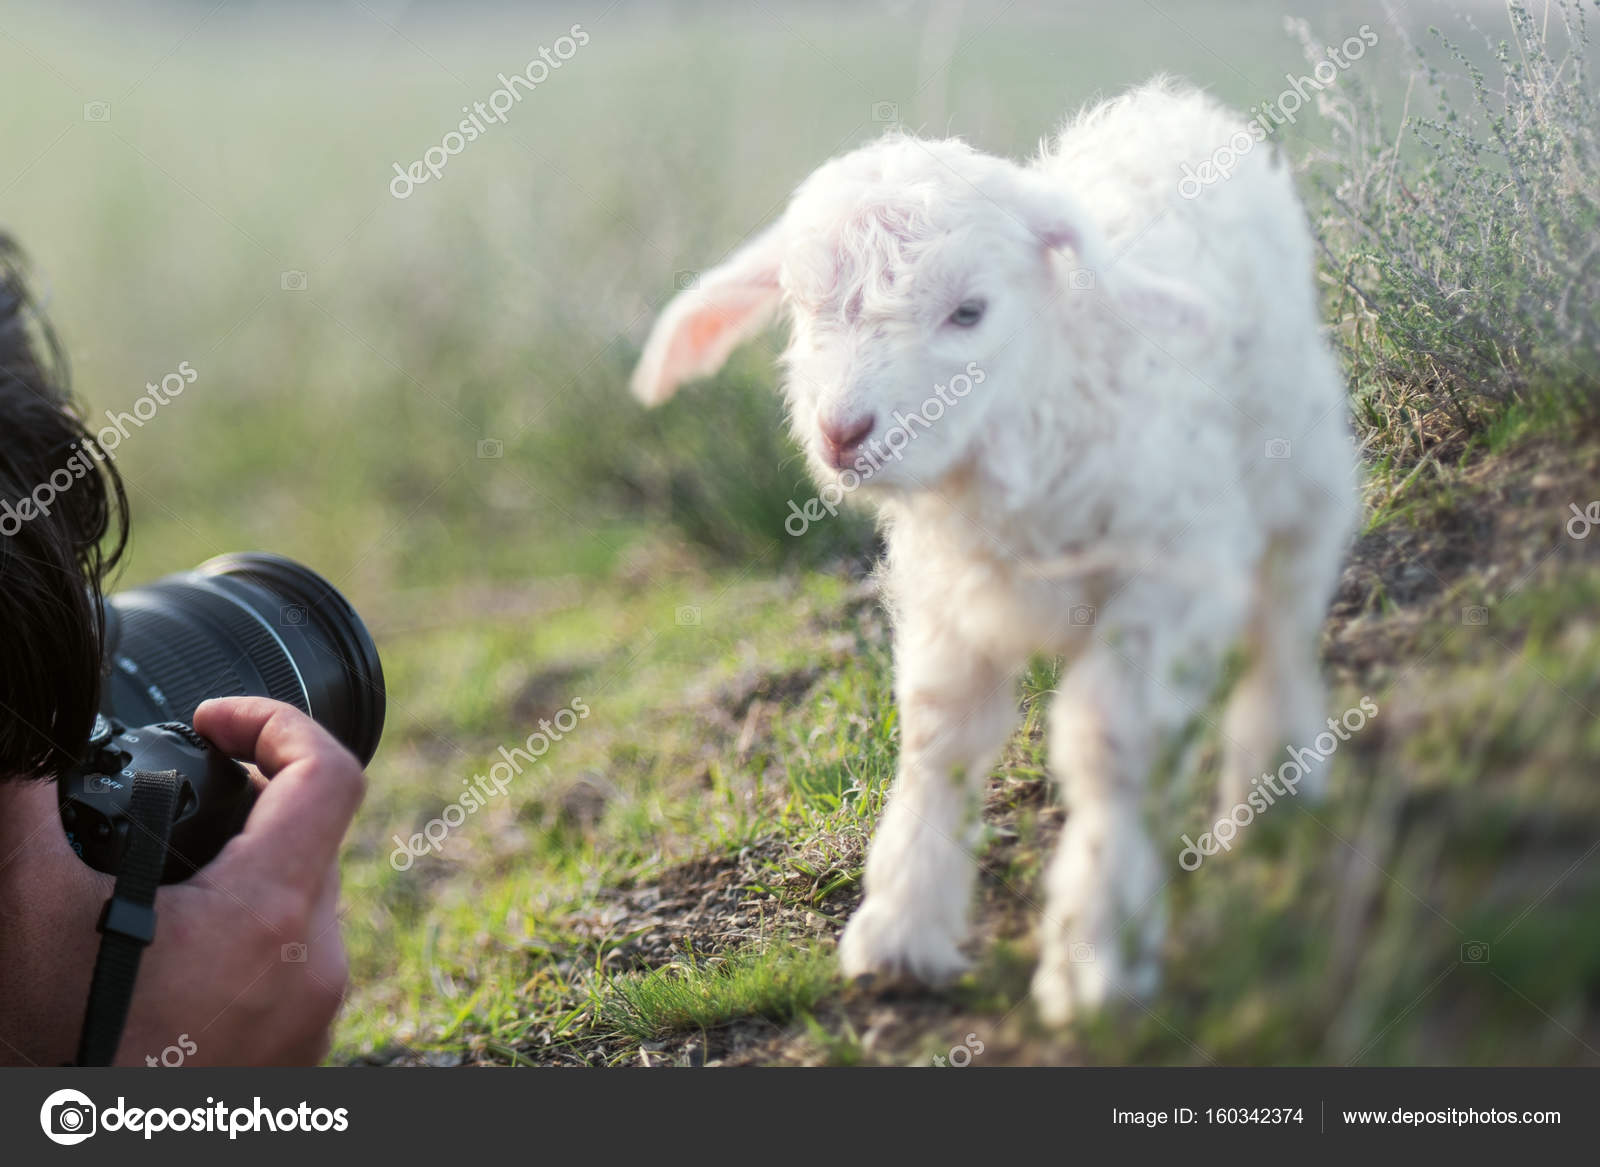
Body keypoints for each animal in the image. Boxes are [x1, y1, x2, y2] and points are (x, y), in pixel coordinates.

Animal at [629, 78, 1358, 1023]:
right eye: (802, 307)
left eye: (969, 311)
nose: (842, 432)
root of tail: (1167, 105)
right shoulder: (946, 599)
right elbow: (938, 737)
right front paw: (901, 929)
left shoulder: (1170, 571)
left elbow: (1110, 744)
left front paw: (1095, 952)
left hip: (1301, 471)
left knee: (1283, 619)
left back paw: (1277, 783)